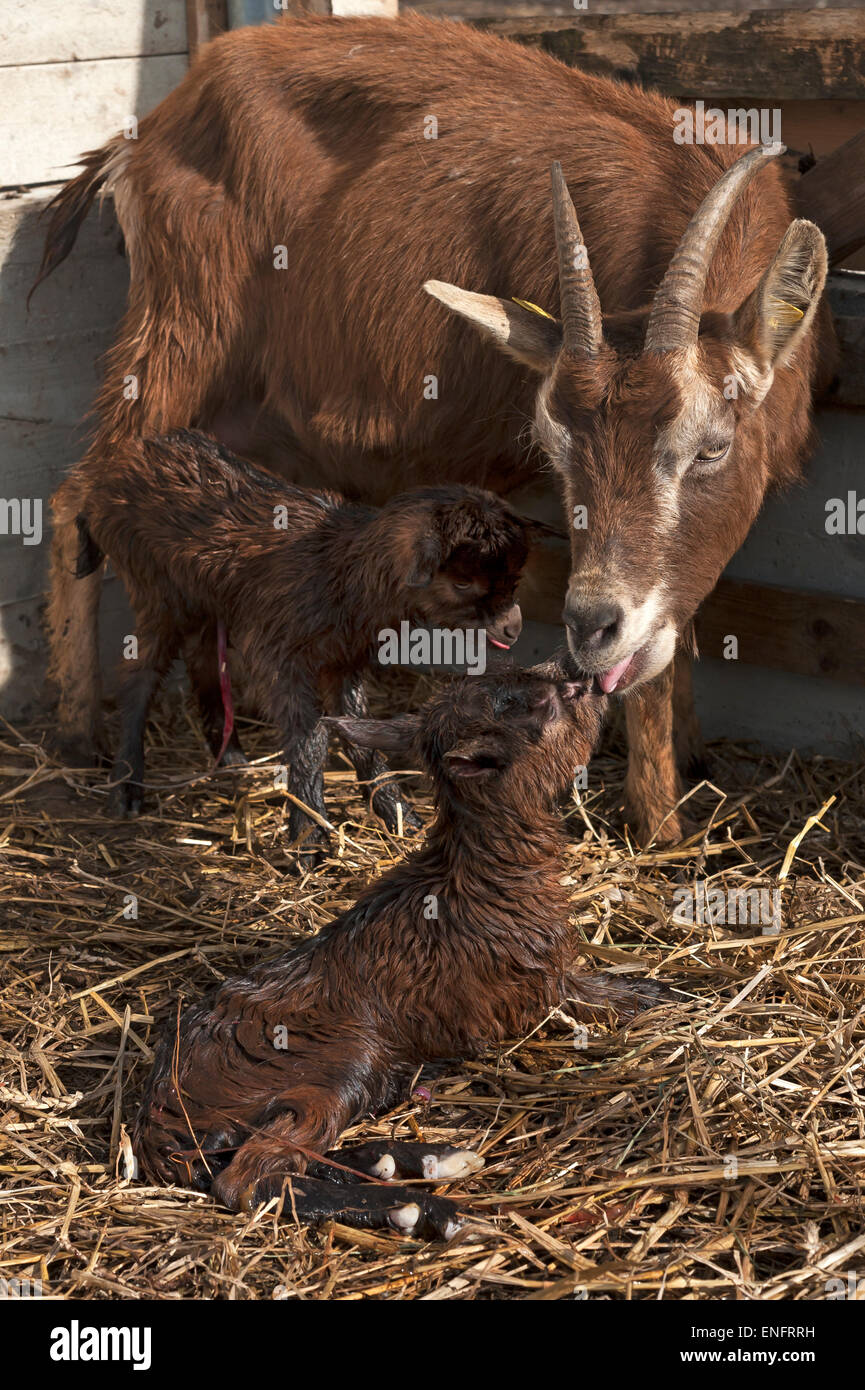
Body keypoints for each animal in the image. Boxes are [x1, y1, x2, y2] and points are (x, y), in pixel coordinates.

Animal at [61, 428, 537, 863]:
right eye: (463, 581)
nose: (513, 627)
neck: (343, 569)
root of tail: (108, 471)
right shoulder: (280, 655)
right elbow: (310, 743)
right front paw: (309, 838)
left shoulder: (343, 660)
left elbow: (360, 736)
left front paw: (401, 816)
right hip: (154, 586)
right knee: (139, 676)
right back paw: (127, 787)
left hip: (205, 595)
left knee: (203, 657)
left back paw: (230, 756)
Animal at [133, 658, 668, 1238]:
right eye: (527, 703)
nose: (581, 675)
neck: (484, 874)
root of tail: (159, 1112)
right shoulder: (534, 986)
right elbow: (610, 994)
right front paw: (669, 997)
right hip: (337, 1058)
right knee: (250, 1177)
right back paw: (426, 1209)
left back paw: (420, 1162)